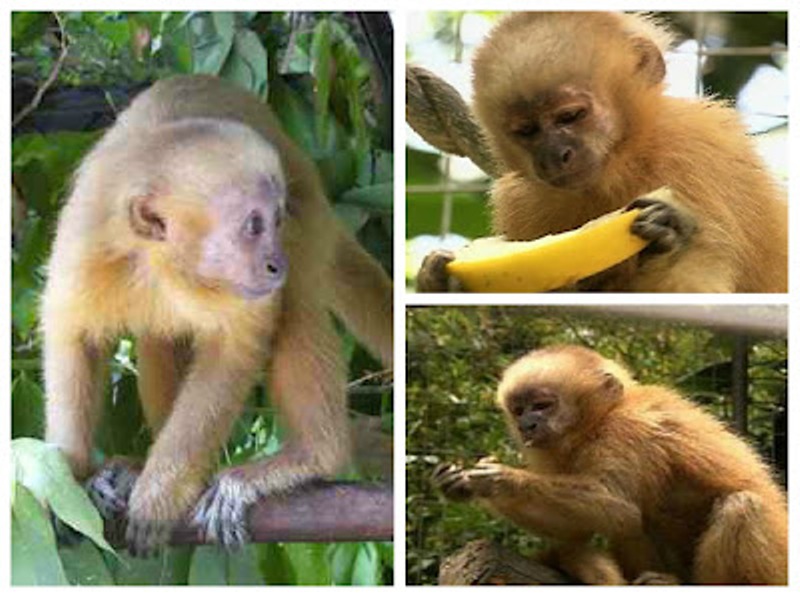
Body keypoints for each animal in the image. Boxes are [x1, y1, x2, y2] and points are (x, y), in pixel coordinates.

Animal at [42, 74, 393, 555]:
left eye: (275, 220)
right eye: (253, 226)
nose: (276, 263)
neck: (167, 262)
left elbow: (235, 350)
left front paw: (161, 494)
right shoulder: (86, 240)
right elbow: (73, 337)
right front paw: (71, 481)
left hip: (313, 227)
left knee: (296, 305)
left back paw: (317, 455)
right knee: (158, 337)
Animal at [417, 12, 787, 293]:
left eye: (570, 116)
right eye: (526, 131)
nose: (554, 156)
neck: (624, 162)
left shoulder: (694, 156)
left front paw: (672, 237)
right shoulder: (521, 200)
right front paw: (442, 284)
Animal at [432, 345, 787, 585]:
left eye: (542, 406)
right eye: (519, 410)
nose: (527, 426)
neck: (601, 419)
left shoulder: (626, 428)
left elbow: (618, 507)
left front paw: (500, 480)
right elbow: (584, 527)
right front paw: (459, 484)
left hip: (775, 568)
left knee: (742, 506)